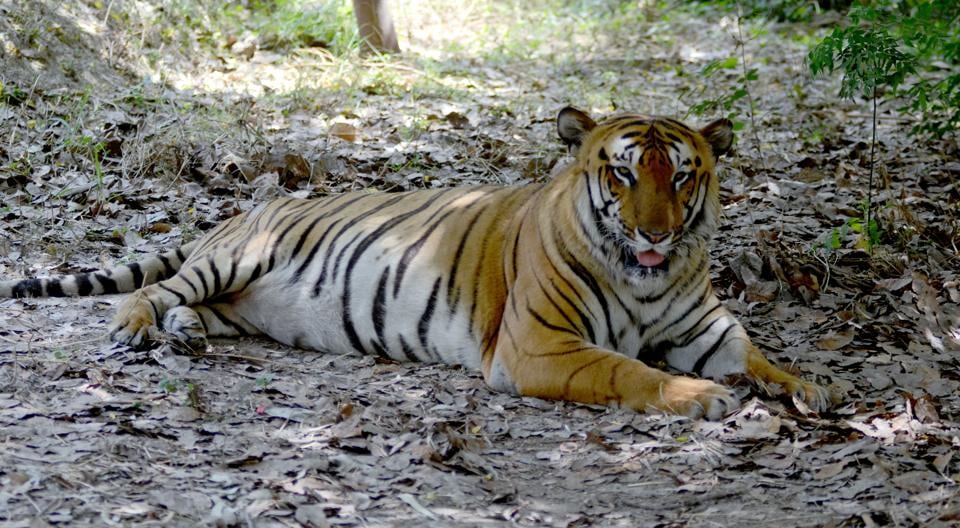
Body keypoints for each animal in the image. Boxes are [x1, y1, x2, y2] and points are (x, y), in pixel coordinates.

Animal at [0, 107, 830, 419]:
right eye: (623, 175)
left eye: (682, 176)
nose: (654, 232)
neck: (646, 278)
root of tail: (239, 211)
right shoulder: (540, 344)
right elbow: (628, 369)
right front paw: (700, 397)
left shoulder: (708, 332)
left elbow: (763, 358)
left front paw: (817, 389)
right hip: (236, 258)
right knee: (157, 290)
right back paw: (142, 329)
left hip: (243, 301)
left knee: (196, 308)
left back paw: (187, 334)